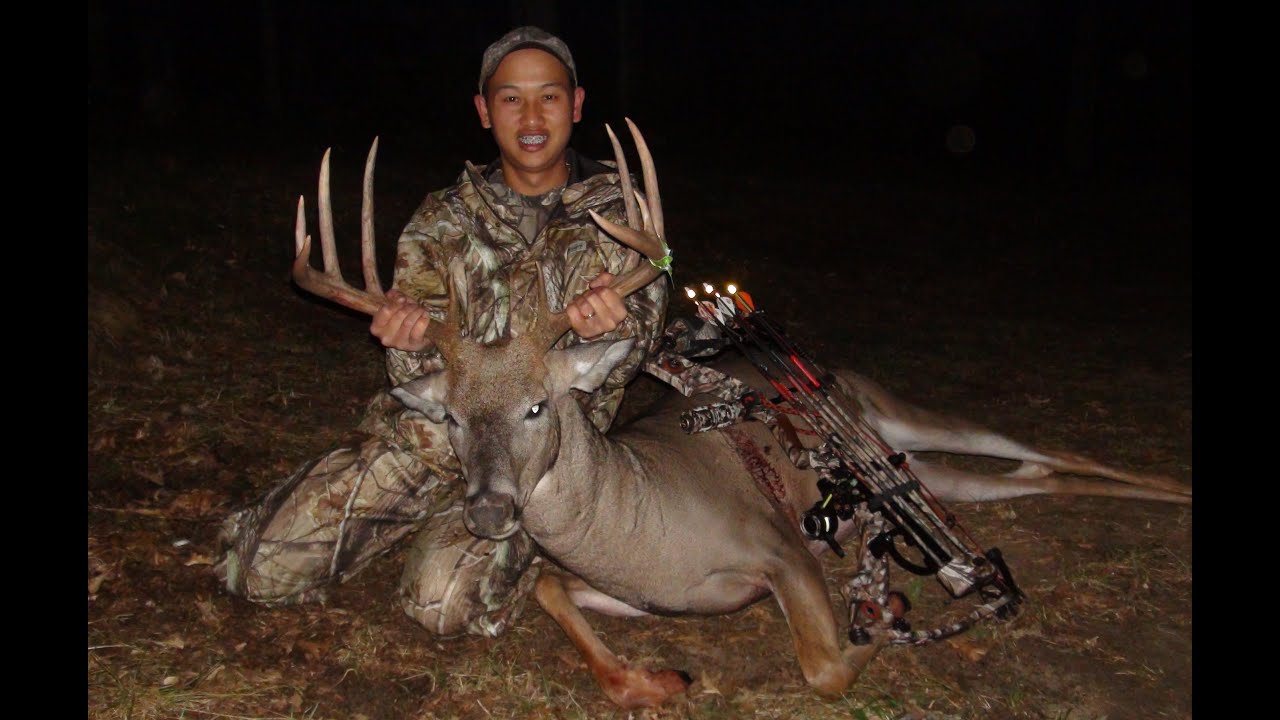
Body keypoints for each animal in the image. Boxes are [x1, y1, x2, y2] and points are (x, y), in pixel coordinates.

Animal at [289, 119, 1193, 708]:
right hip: (930, 472)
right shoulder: (618, 590)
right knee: (1029, 474)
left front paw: (889, 611)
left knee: (1051, 449)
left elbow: (826, 665)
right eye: (450, 417)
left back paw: (1170, 489)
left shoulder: (779, 545)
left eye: (537, 404)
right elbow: (547, 590)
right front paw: (658, 679)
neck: (645, 532)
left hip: (896, 411)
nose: (488, 509)